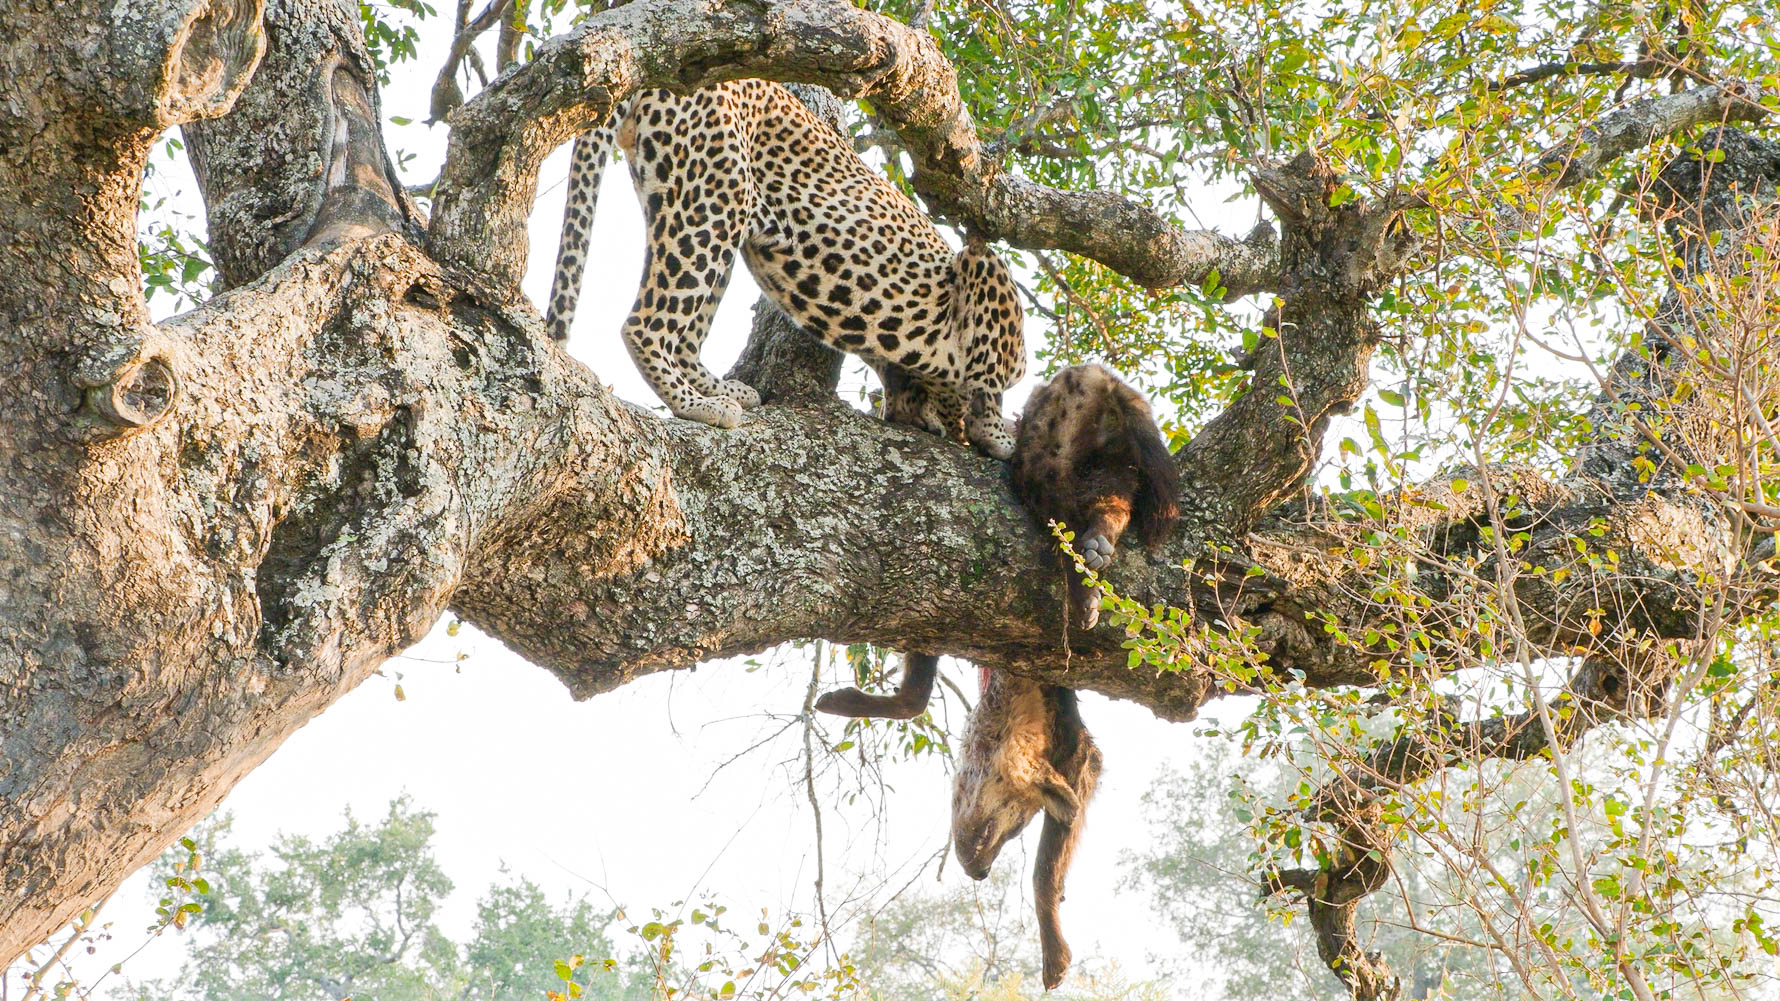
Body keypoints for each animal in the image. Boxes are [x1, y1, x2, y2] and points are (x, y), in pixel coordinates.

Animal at [546, 80, 1027, 459]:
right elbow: (986, 380)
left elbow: (914, 400)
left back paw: (725, 390)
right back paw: (699, 405)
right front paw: (1001, 437)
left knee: (684, 338)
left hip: (695, 206)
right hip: (715, 196)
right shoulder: (981, 268)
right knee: (645, 325)